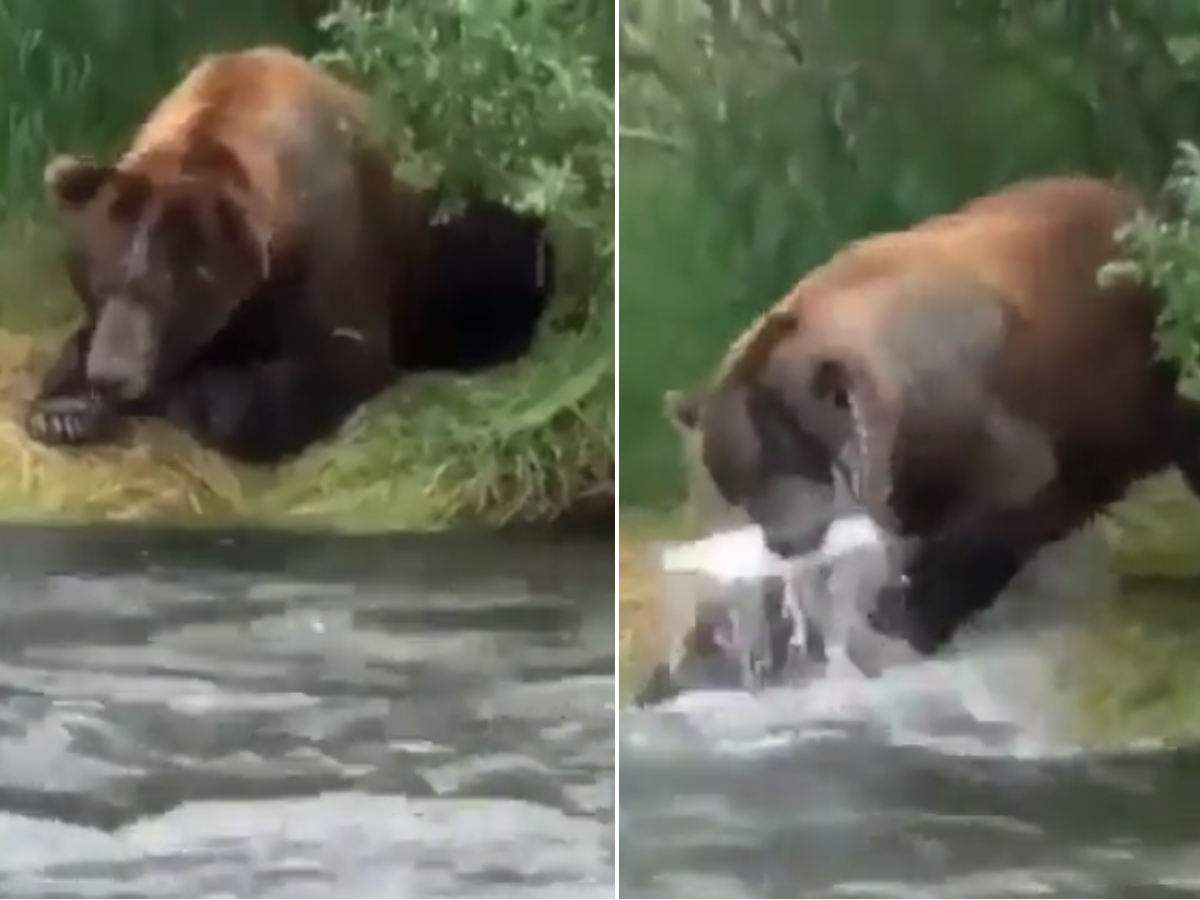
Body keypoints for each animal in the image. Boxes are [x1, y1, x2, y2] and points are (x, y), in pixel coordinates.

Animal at [23, 45, 437, 466]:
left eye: (162, 293)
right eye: (100, 283)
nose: (111, 378)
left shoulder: (331, 238)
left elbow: (342, 347)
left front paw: (207, 399)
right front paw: (63, 412)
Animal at [664, 176, 1200, 677]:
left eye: (782, 445)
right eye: (737, 483)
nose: (783, 540)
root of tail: (1124, 193)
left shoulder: (988, 418)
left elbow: (1005, 507)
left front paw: (903, 616)